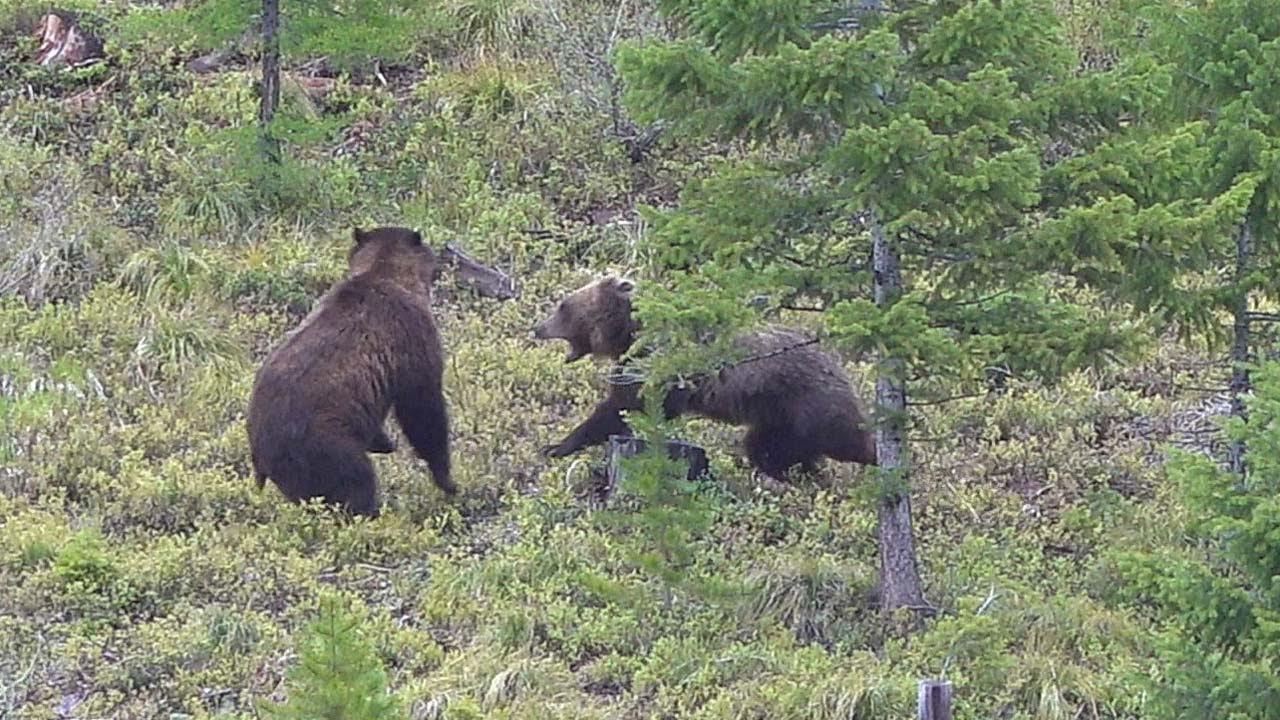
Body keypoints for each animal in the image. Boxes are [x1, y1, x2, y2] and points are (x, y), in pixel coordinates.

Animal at [247, 226, 455, 517]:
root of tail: (259, 456)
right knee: (356, 480)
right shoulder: (412, 337)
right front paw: (447, 481)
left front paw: (385, 442)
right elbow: (423, 410)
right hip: (325, 443)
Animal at [532, 276, 877, 480]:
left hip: (810, 402)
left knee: (846, 439)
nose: (537, 327)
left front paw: (558, 445)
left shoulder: (658, 363)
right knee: (767, 447)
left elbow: (623, 407)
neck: (631, 332)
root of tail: (838, 365)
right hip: (776, 414)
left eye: (562, 306)